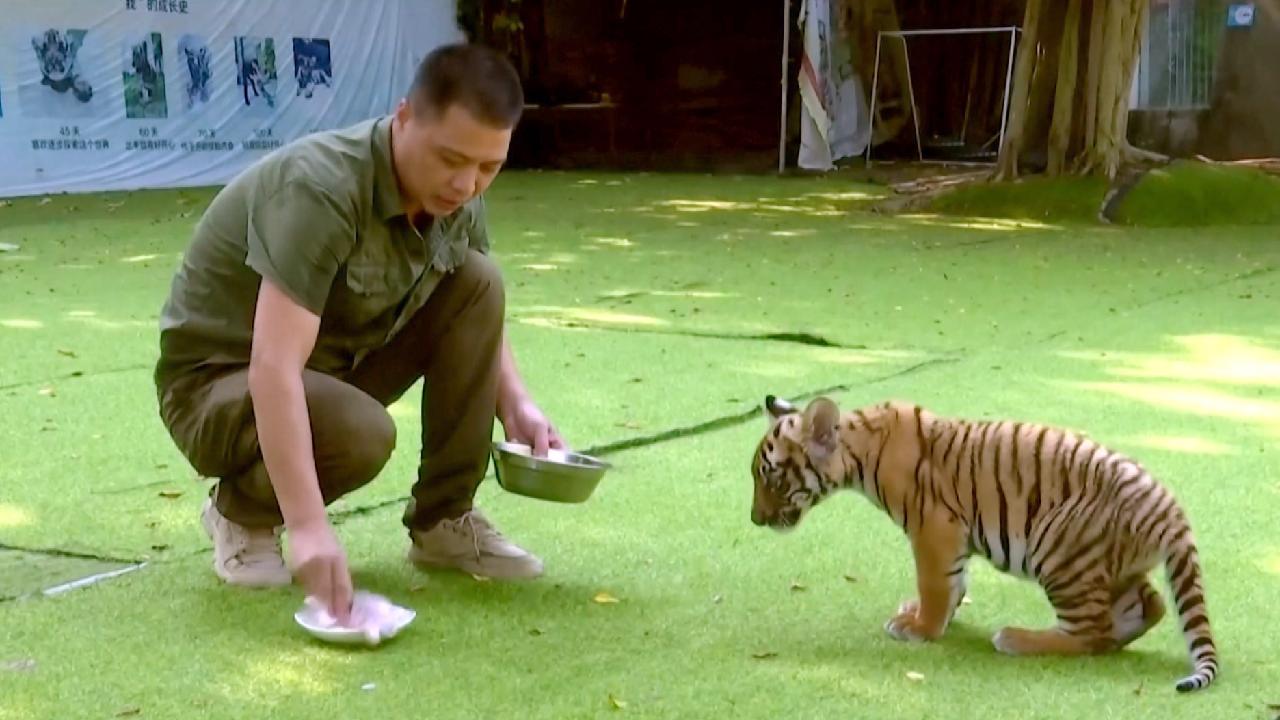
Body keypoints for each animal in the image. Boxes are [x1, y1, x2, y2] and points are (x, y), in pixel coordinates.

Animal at [750, 394, 1219, 693]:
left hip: (1058, 548)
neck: (859, 448)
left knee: (1092, 633)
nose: (755, 519)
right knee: (1145, 608)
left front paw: (920, 628)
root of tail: (1170, 510)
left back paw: (1016, 639)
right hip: (1106, 564)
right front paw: (922, 617)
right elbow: (954, 585)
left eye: (771, 476)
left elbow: (935, 585)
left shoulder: (933, 529)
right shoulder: (951, 538)